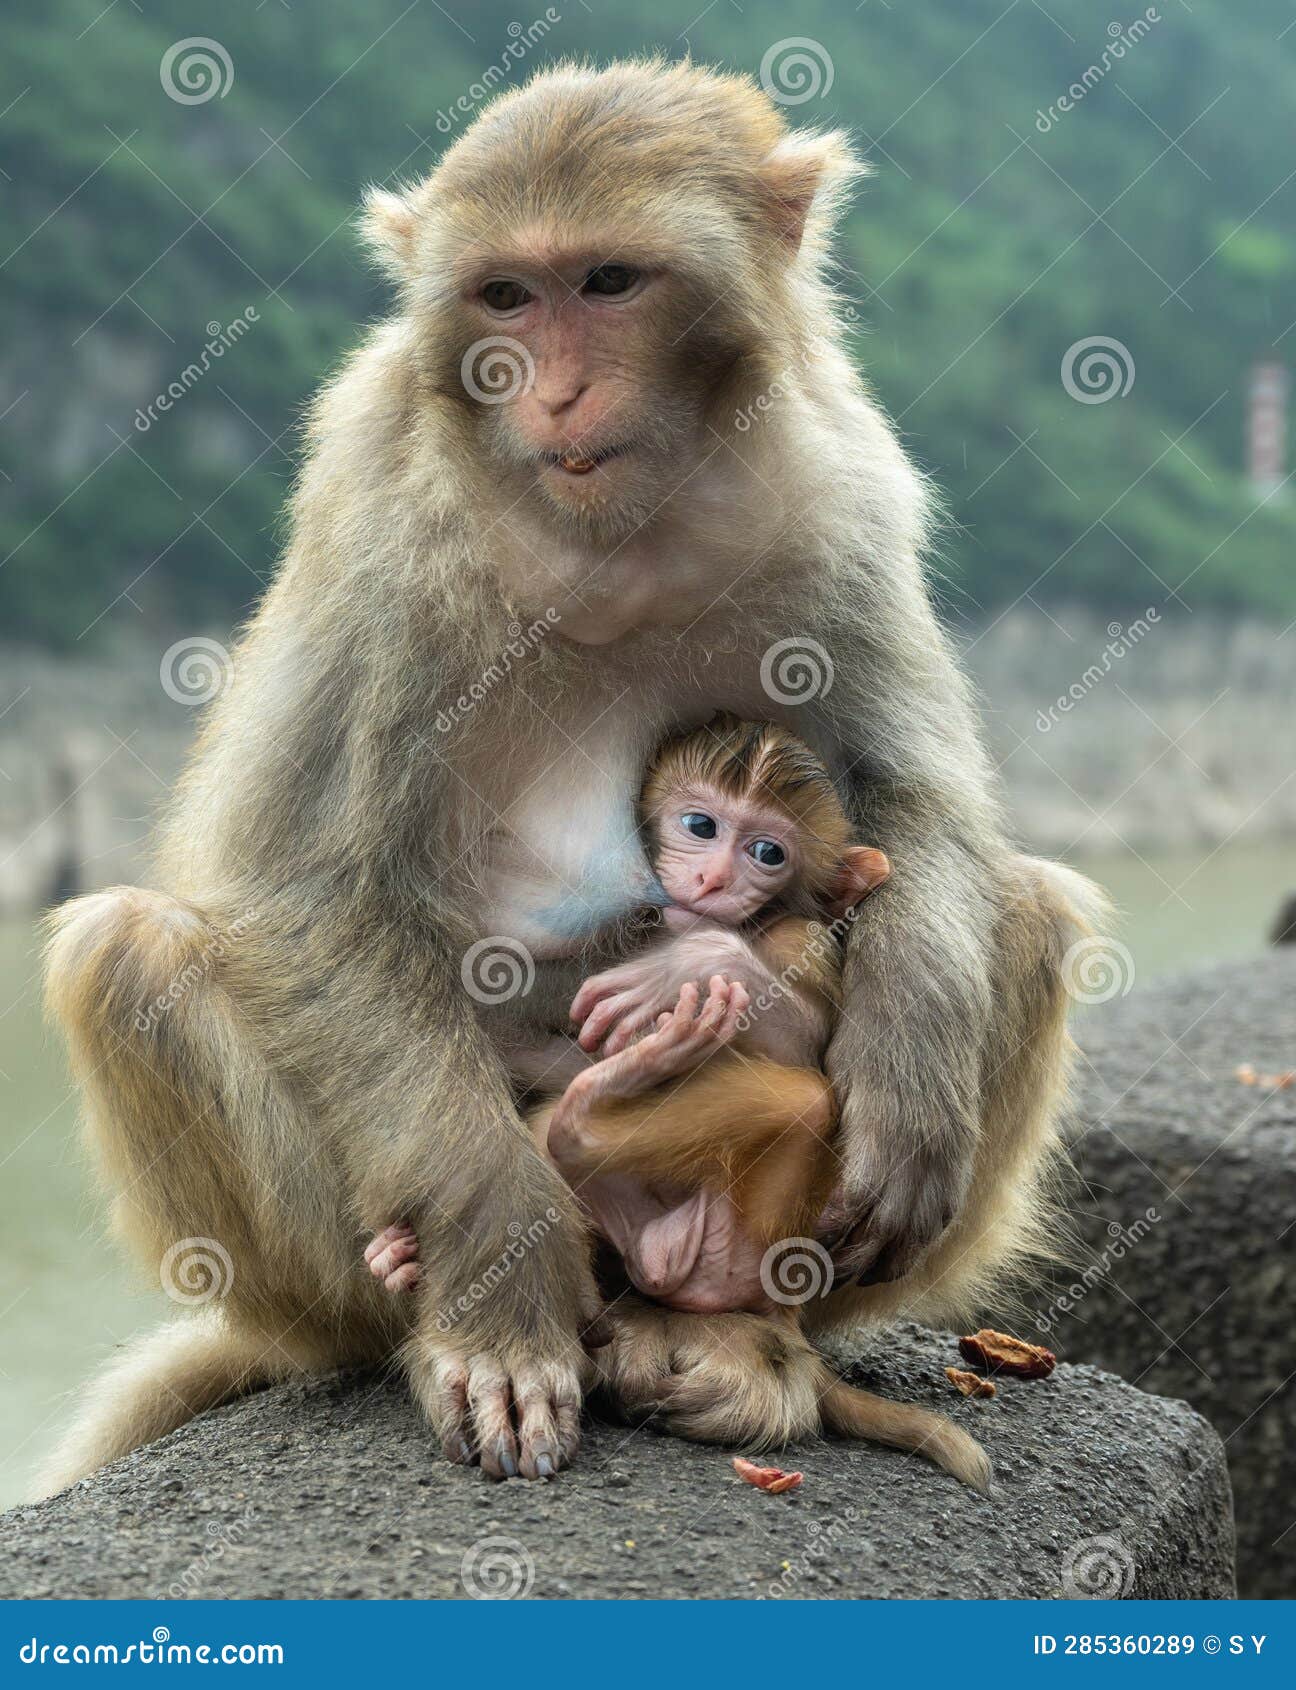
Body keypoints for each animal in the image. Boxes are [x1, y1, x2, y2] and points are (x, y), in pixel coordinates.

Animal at [38, 60, 1105, 1495]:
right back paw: (435, 1304)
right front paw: (496, 1297)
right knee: (129, 951)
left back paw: (732, 1332)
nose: (545, 389)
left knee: (1032, 913)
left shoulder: (848, 482)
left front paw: (910, 1072)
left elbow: (915, 803)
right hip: (331, 1263)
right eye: (505, 295)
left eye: (606, 282)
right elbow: (306, 878)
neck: (618, 534)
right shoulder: (374, 505)